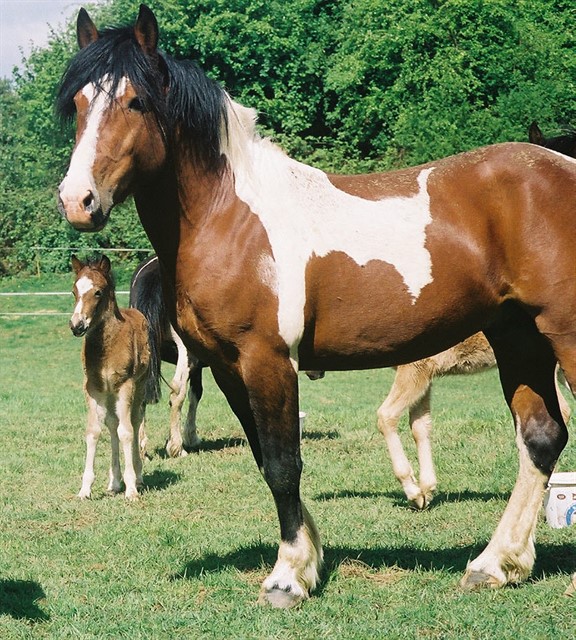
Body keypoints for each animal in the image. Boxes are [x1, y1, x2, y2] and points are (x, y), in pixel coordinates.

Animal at [70, 254, 160, 499]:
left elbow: (127, 432)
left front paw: (131, 490)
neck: (108, 348)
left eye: (98, 292)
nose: (76, 325)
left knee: (135, 421)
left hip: (138, 386)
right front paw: (85, 489)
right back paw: (114, 482)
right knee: (111, 423)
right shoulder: (93, 388)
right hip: (109, 394)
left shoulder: (125, 385)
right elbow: (93, 432)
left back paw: (136, 477)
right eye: (74, 291)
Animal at [378, 123, 576, 509]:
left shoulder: (414, 371)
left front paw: (412, 488)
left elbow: (387, 417)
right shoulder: (425, 375)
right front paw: (426, 490)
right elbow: (420, 424)